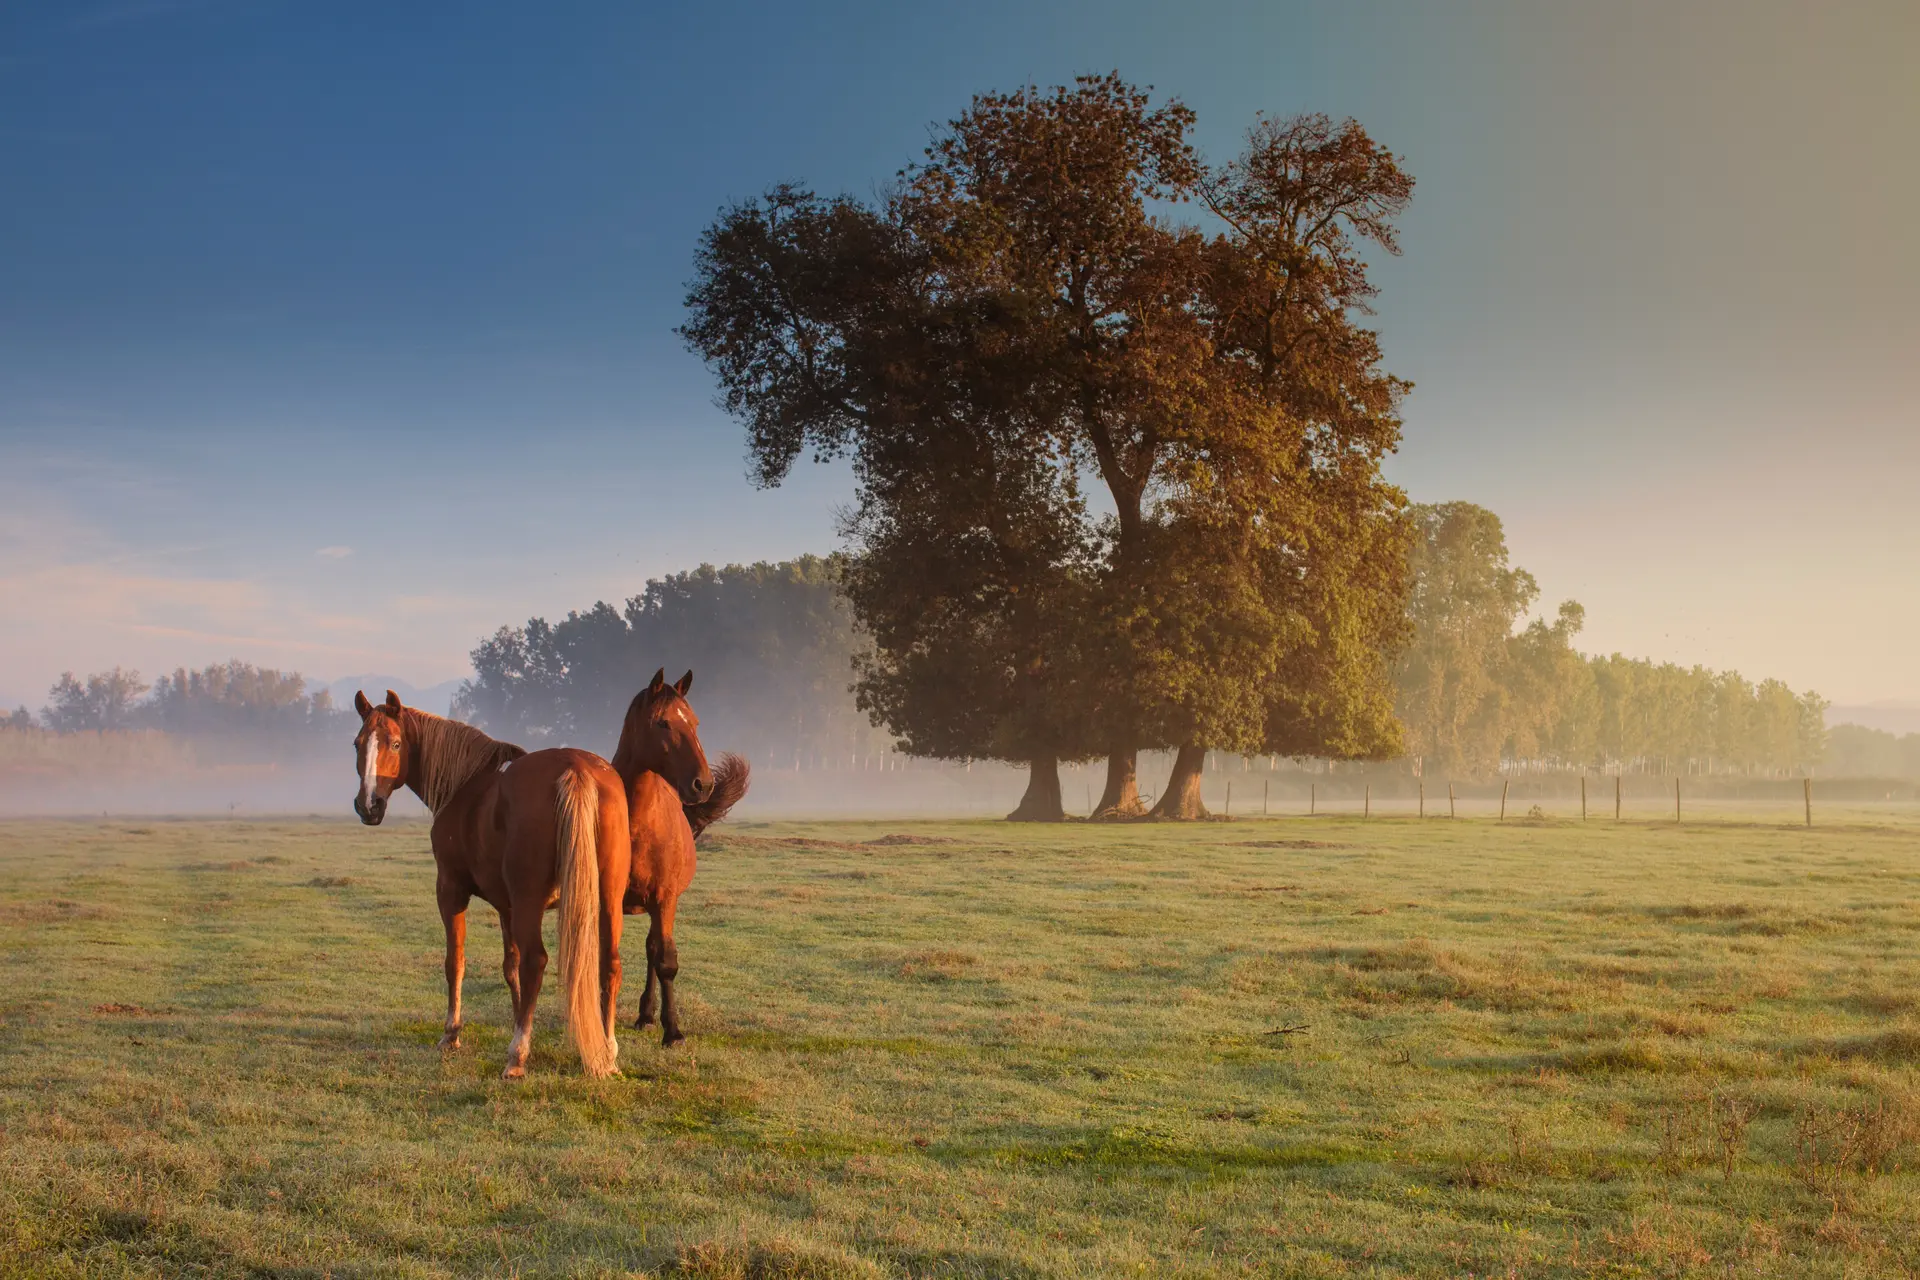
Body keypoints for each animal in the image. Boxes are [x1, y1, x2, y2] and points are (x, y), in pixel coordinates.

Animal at [352, 690, 629, 1080]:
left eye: (394, 743)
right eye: (357, 743)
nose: (368, 806)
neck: (465, 784)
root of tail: (575, 769)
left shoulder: (451, 891)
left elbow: (456, 961)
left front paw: (451, 1033)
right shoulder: (506, 906)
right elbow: (510, 968)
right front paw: (516, 1021)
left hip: (530, 902)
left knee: (536, 962)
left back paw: (517, 1055)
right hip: (608, 899)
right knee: (609, 965)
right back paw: (607, 1052)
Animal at [610, 668, 749, 1045]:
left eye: (695, 722)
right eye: (662, 723)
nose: (704, 785)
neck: (636, 823)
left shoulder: (665, 897)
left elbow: (667, 961)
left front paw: (673, 1031)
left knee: (653, 950)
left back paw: (647, 1015)